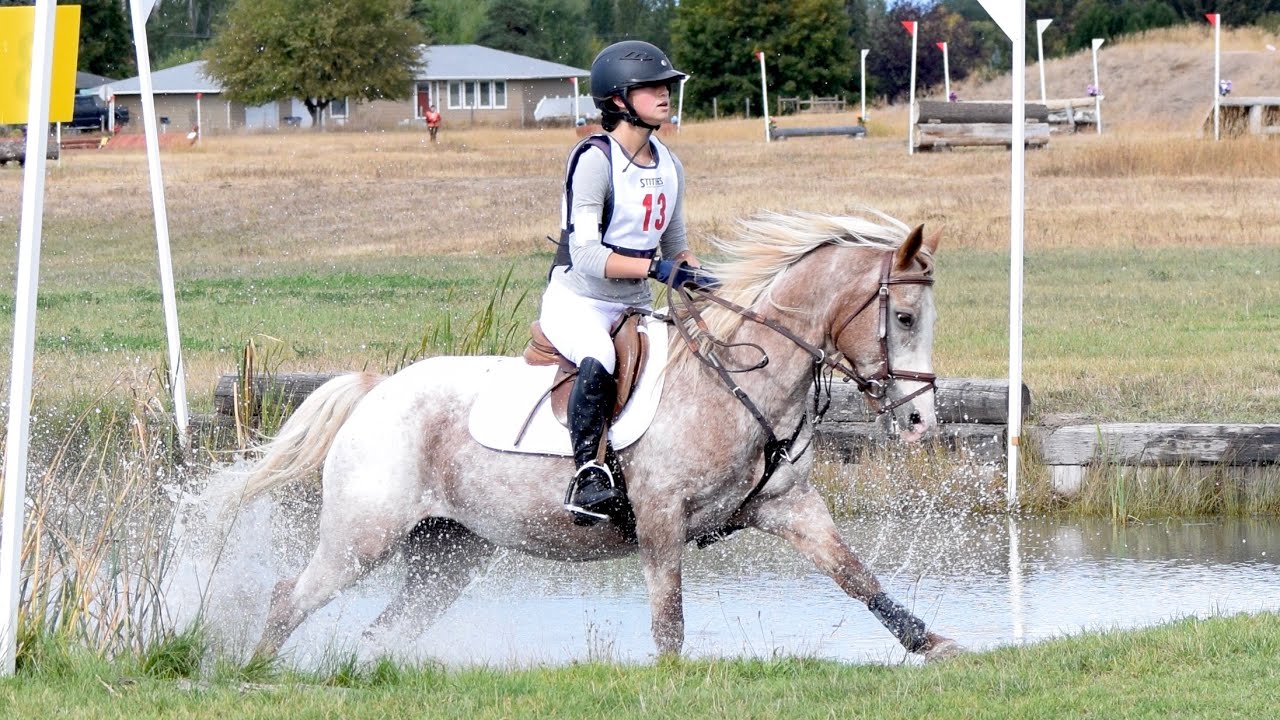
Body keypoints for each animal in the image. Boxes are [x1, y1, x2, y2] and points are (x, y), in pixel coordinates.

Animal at [236, 209, 959, 662]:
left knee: (385, 628)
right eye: (903, 316)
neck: (741, 381)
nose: (921, 422)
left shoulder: (788, 506)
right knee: (290, 596)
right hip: (365, 536)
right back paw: (254, 670)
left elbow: (856, 575)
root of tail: (375, 392)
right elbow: (668, 619)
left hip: (448, 550)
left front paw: (931, 643)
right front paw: (671, 679)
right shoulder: (662, 516)